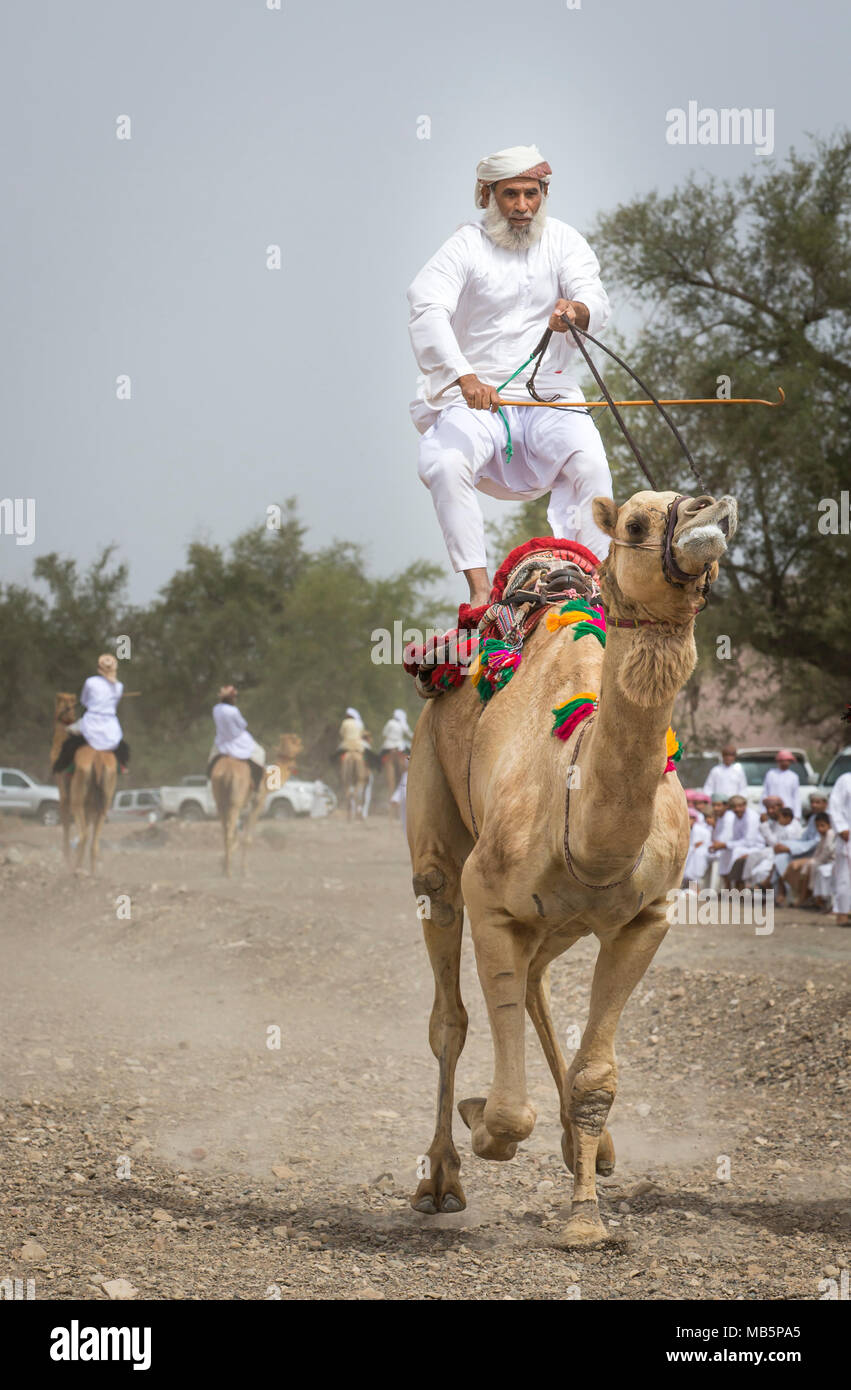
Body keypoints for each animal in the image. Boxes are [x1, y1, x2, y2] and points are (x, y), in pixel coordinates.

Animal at [211, 732, 303, 877]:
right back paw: (229, 872)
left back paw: (226, 868)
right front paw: (245, 870)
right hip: (235, 802)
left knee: (225, 831)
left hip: (220, 799)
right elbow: (247, 838)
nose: (302, 744)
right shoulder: (258, 803)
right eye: (296, 741)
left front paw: (223, 862)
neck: (268, 778)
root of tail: (226, 771)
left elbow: (238, 833)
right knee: (229, 832)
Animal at [406, 489, 738, 1246]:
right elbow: (506, 1110)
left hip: (560, 922)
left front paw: (586, 1216)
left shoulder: (644, 919)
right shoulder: (492, 900)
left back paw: (584, 1149)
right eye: (638, 523)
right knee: (449, 1015)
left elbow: (596, 1078)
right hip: (433, 817)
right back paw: (439, 1182)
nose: (711, 509)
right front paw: (483, 1123)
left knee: (535, 986)